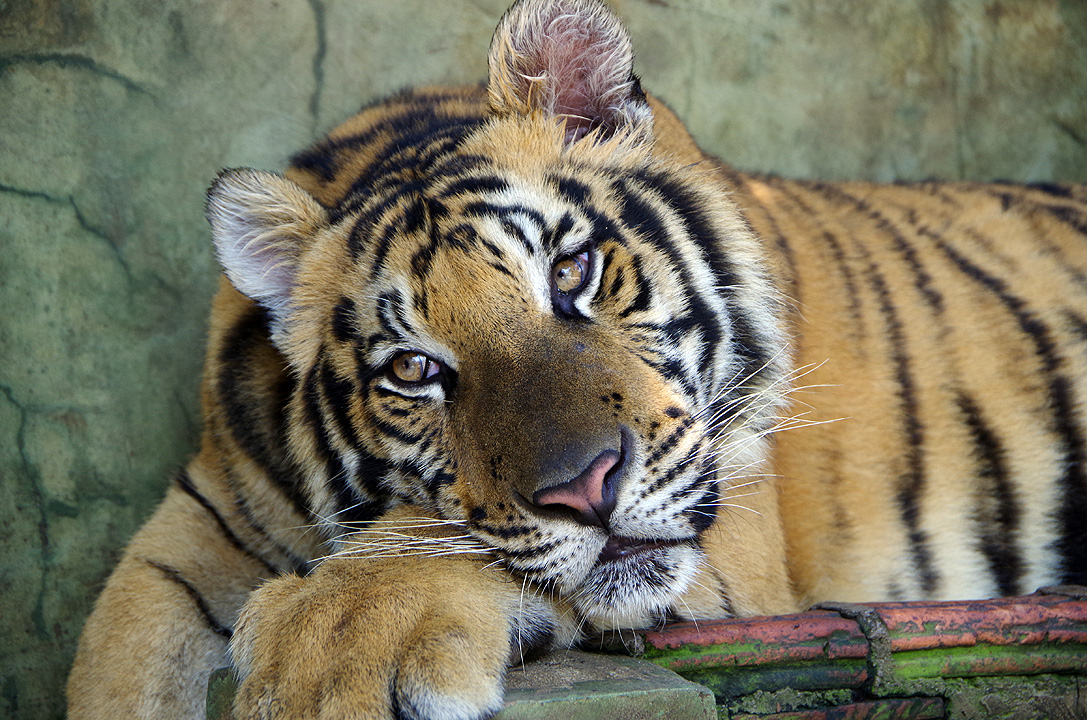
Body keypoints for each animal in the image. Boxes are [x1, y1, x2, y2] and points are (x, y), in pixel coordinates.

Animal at [66, 0, 1087, 718]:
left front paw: (332, 649)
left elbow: (431, 544)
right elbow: (114, 662)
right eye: (413, 370)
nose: (586, 490)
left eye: (571, 271)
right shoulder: (204, 519)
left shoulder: (736, 520)